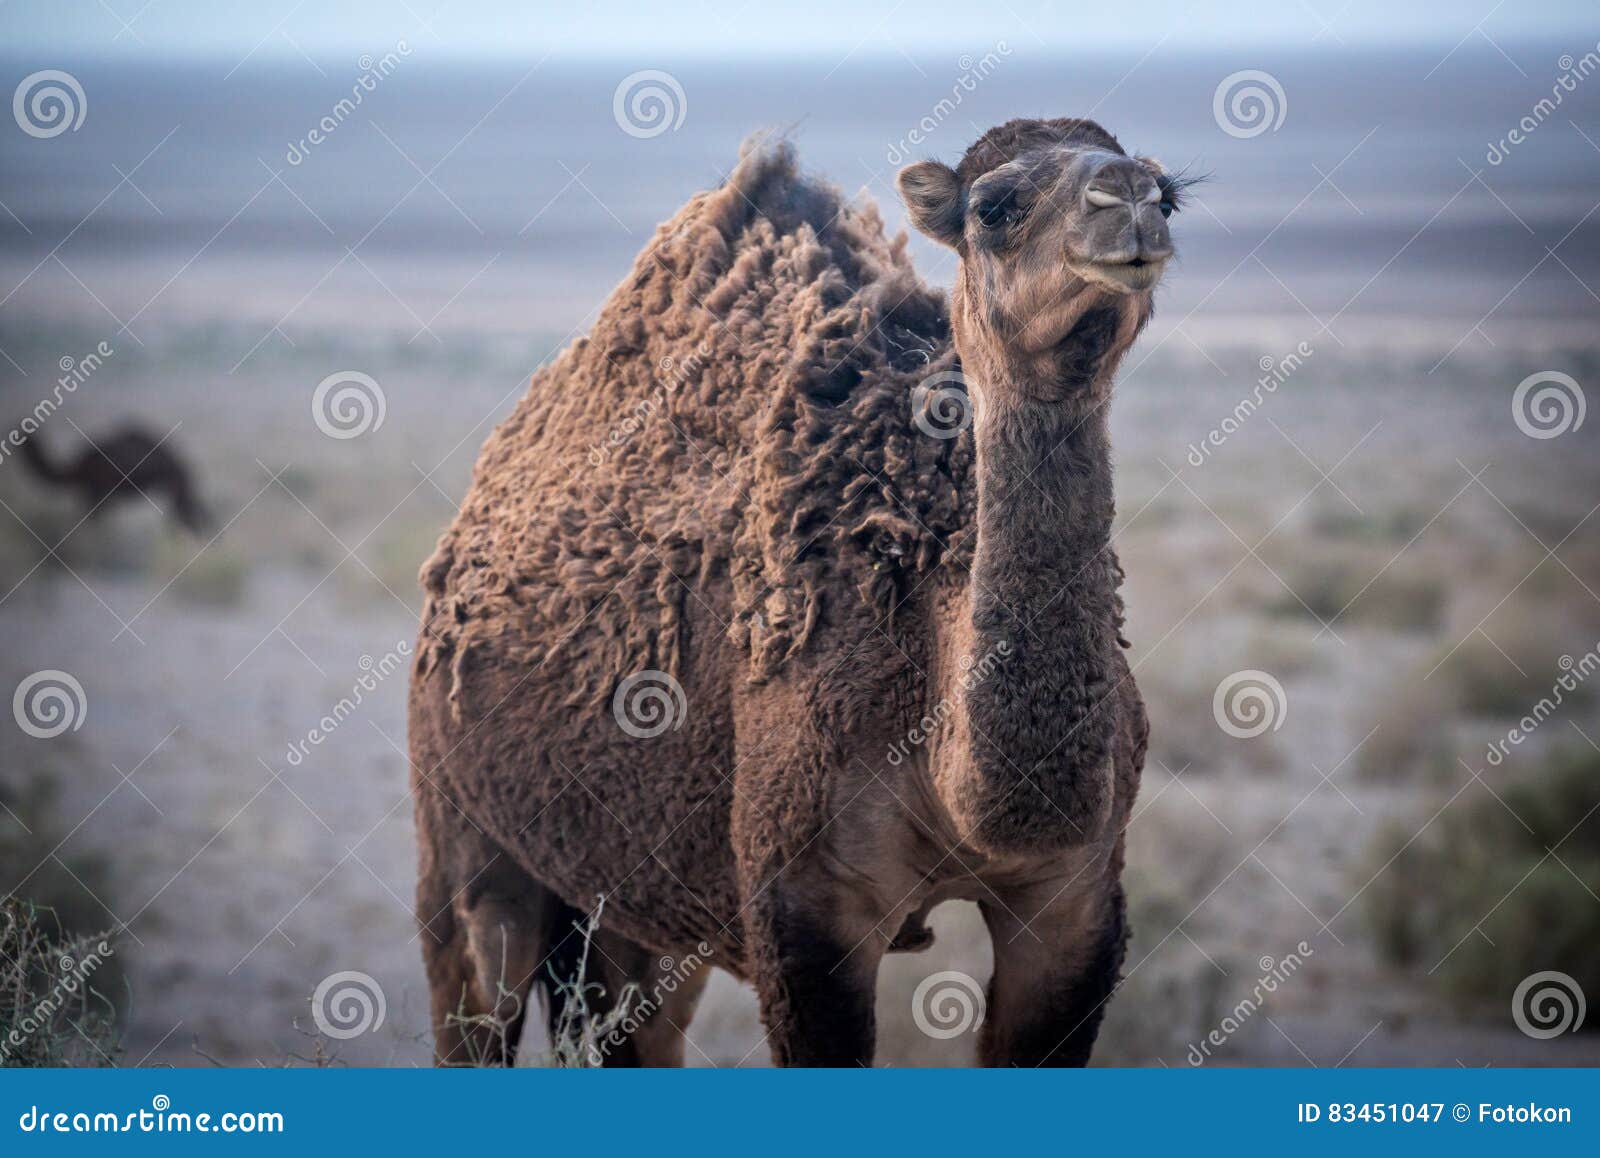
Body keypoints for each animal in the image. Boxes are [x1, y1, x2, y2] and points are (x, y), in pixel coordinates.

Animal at [409, 117, 1185, 1066]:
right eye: (994, 206)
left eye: (1169, 194)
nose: (1129, 202)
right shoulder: (803, 903)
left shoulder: (1077, 898)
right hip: (458, 820)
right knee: (475, 987)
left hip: (641, 902)